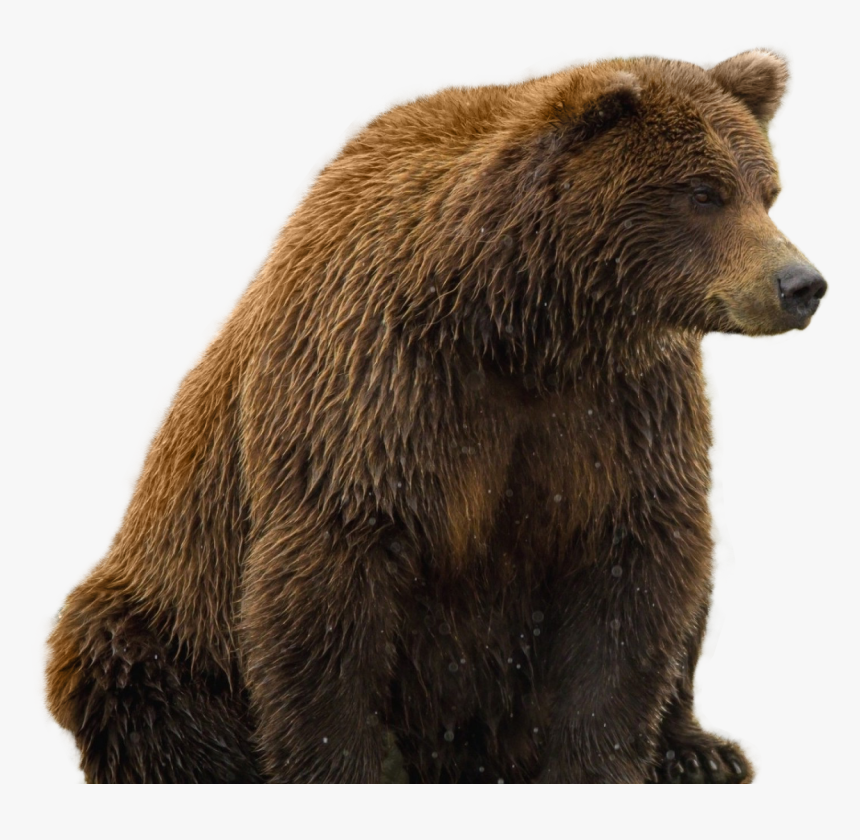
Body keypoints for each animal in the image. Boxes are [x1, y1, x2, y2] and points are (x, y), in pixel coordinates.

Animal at [46, 50, 826, 784]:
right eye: (703, 192)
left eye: (768, 191)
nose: (801, 284)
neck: (523, 326)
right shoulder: (375, 394)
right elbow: (328, 597)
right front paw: (344, 768)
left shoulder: (621, 409)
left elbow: (634, 575)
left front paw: (598, 764)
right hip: (164, 615)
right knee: (134, 674)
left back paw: (700, 750)